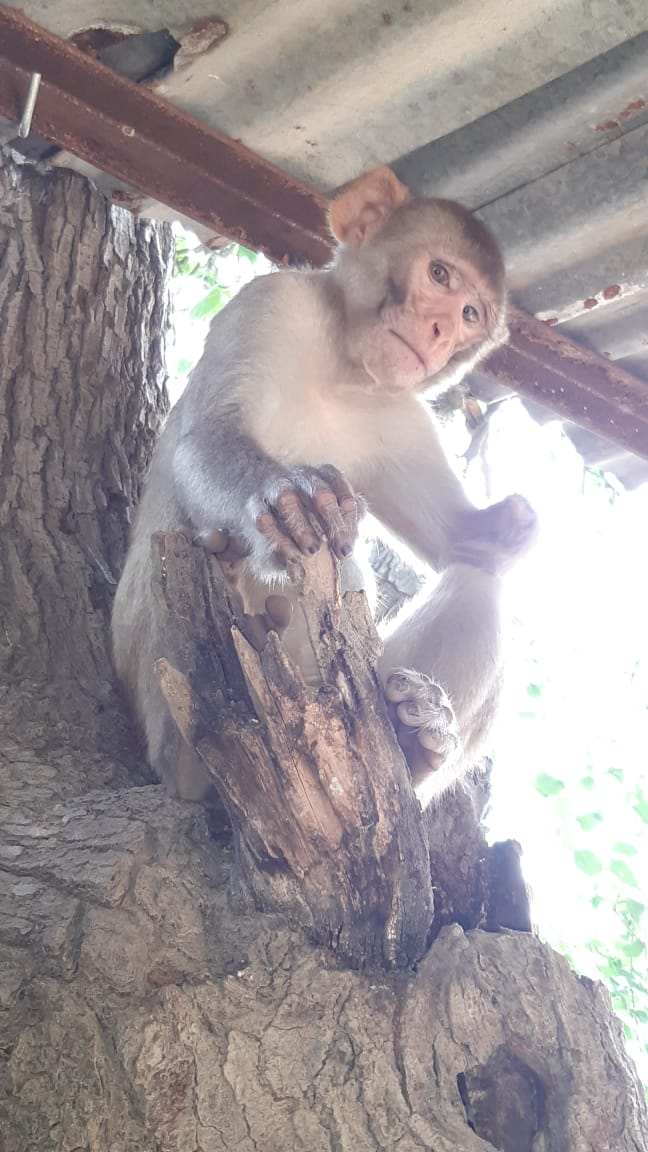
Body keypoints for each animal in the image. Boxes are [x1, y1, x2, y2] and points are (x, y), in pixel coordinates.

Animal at [111, 165, 537, 805]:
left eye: (470, 314)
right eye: (439, 274)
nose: (439, 330)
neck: (346, 370)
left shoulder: (404, 415)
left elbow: (462, 543)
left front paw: (507, 526)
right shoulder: (270, 302)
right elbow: (209, 436)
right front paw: (288, 499)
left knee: (478, 580)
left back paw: (416, 741)